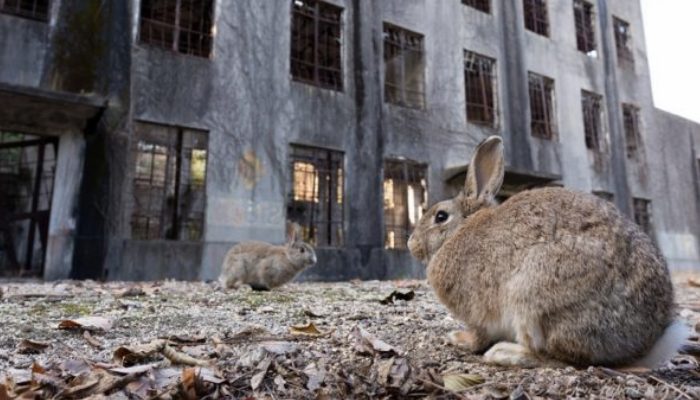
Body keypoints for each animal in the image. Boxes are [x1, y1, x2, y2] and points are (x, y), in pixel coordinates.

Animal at [407, 135, 688, 368]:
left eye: (440, 216)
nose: (411, 244)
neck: (462, 229)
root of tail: (642, 345)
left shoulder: (477, 311)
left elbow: (479, 334)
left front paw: (459, 338)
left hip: (534, 299)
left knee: (555, 356)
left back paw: (505, 353)